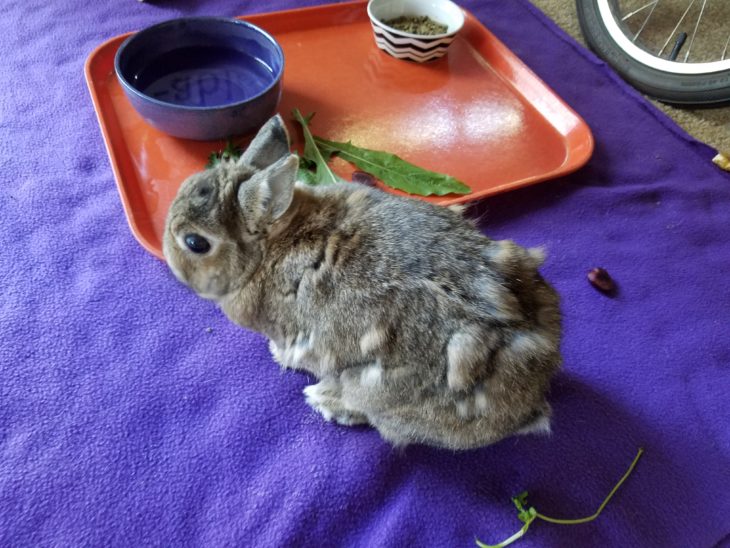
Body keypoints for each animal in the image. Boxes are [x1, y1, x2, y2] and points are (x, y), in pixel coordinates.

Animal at [163, 114, 562, 450]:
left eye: (195, 243)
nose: (169, 257)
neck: (271, 246)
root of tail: (527, 405)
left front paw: (279, 355)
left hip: (374, 389)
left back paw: (325, 400)